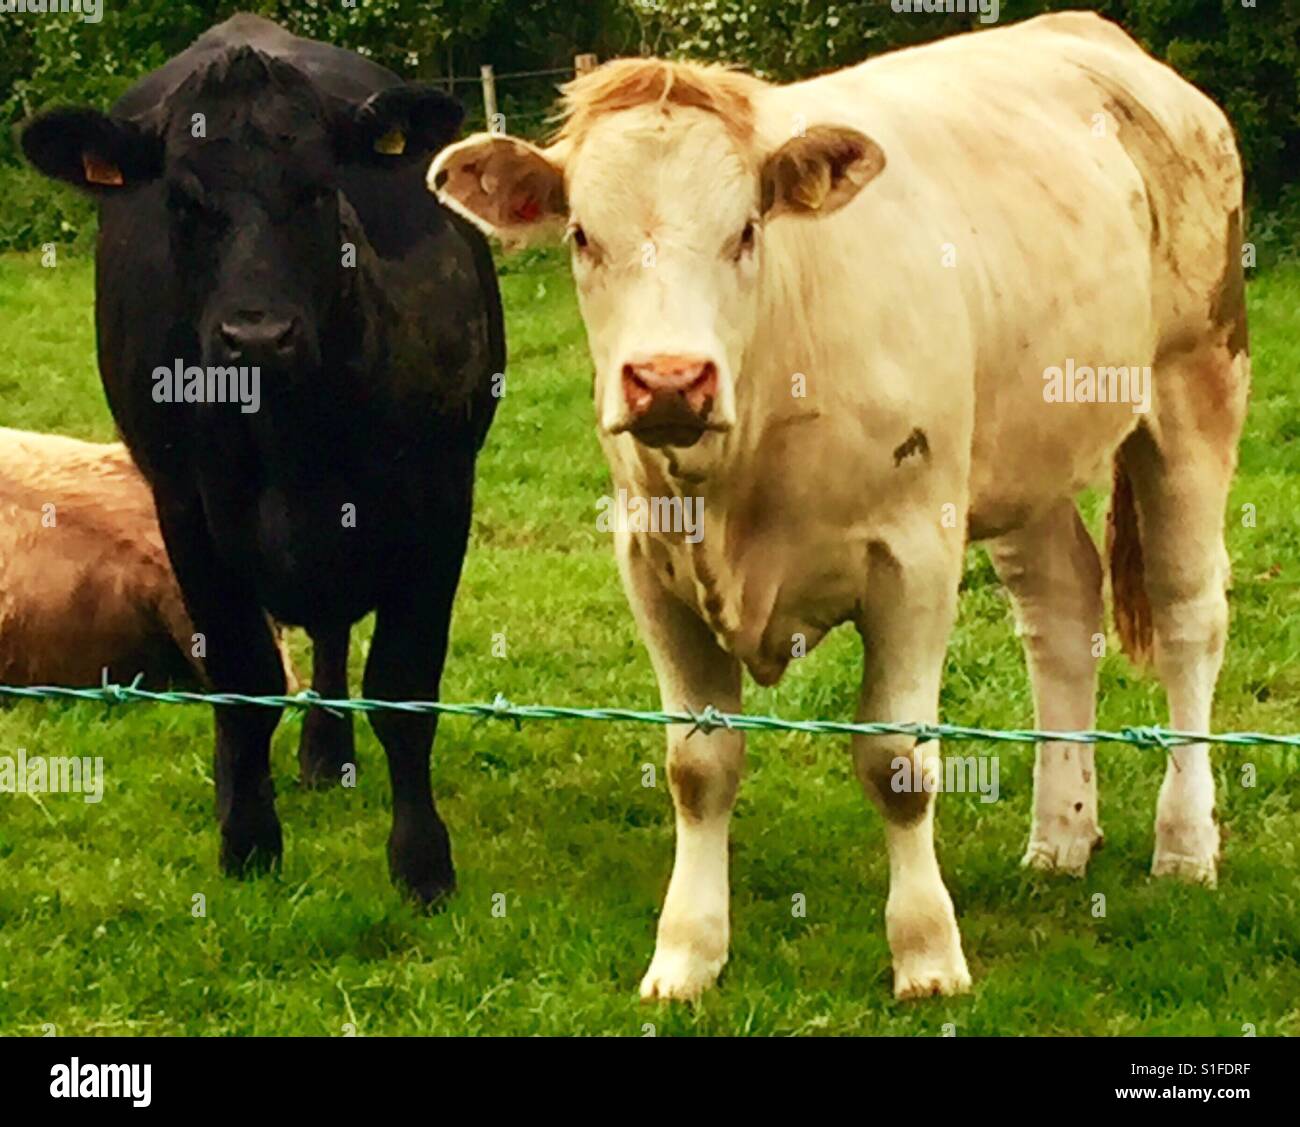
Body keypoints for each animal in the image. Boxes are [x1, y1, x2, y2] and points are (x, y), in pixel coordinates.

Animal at [431, 11, 1248, 1000]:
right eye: (584, 235)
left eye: (746, 230)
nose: (668, 378)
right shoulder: (650, 564)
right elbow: (697, 765)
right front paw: (687, 952)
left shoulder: (916, 553)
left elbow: (898, 761)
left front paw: (927, 952)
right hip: (1019, 456)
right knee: (1060, 608)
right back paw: (1061, 834)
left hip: (1197, 383)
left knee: (1187, 613)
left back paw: (1185, 843)